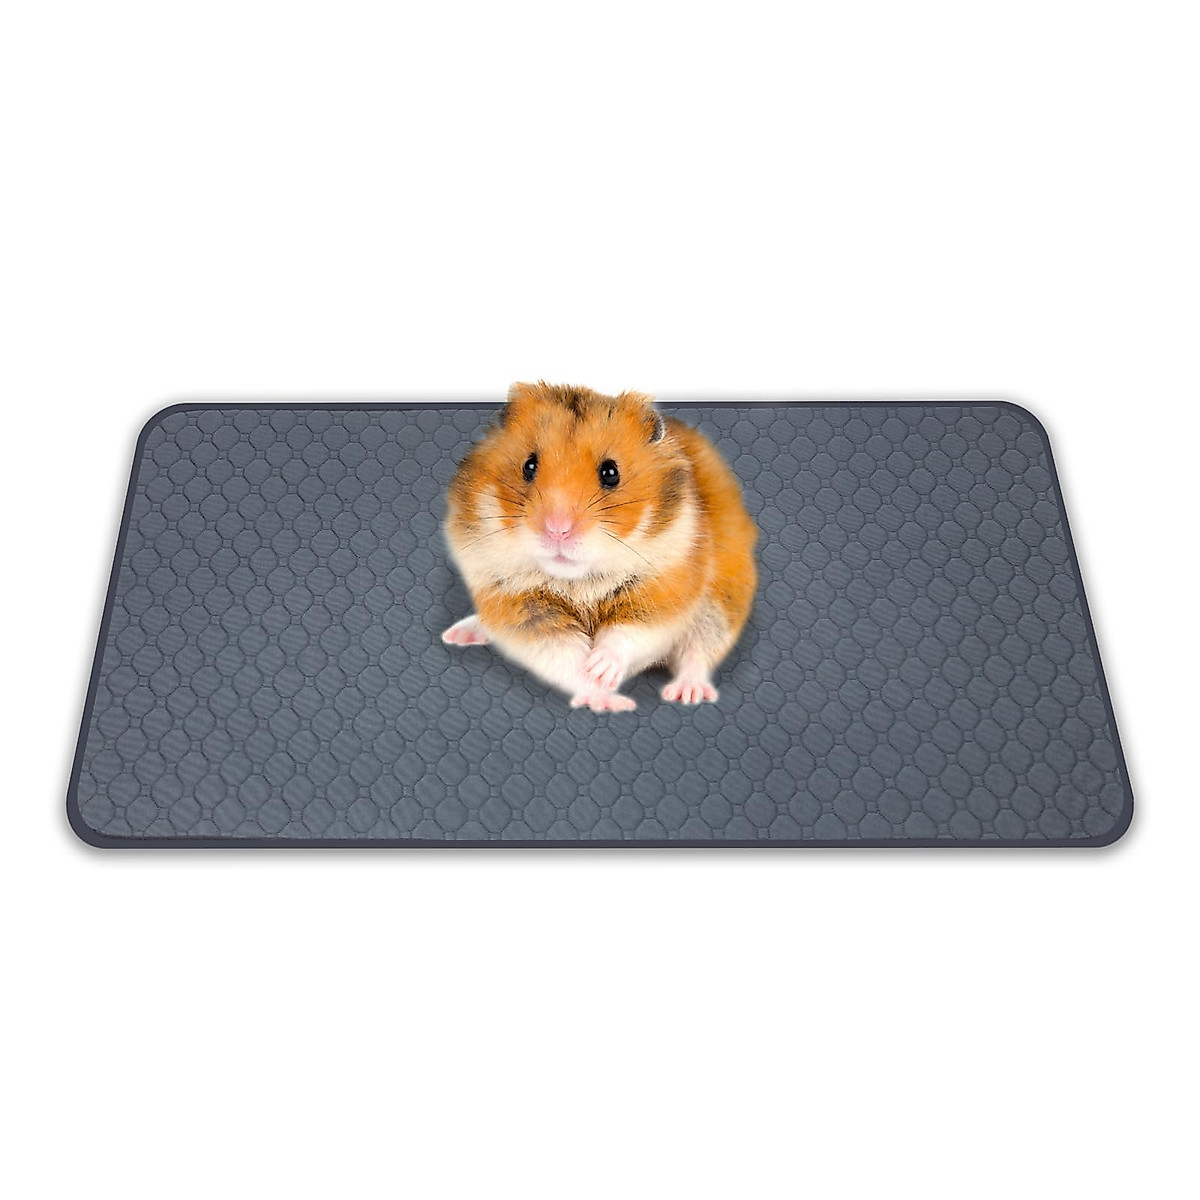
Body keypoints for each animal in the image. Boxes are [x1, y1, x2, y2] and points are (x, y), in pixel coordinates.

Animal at [441, 382, 757, 712]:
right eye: (529, 465)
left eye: (610, 472)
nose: (557, 529)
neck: (579, 581)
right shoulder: (520, 606)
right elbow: (563, 655)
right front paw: (607, 697)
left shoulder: (661, 594)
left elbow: (627, 635)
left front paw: (601, 668)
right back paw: (457, 634)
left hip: (719, 605)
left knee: (698, 653)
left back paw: (687, 693)